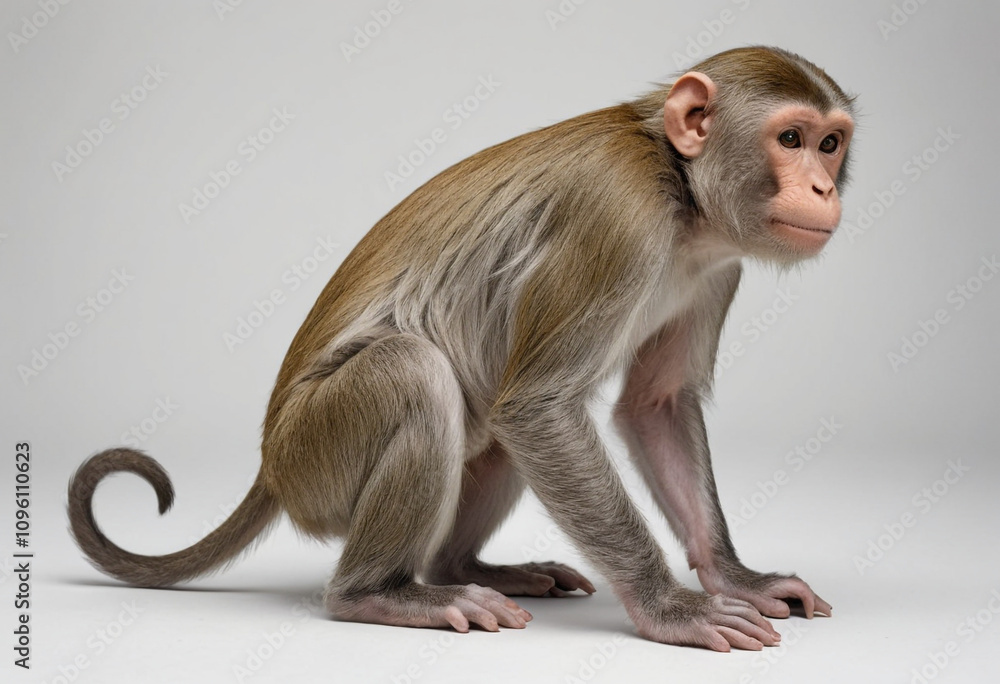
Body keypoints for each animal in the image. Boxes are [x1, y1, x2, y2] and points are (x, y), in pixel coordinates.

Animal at [69, 46, 856, 652]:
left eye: (831, 144)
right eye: (791, 140)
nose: (823, 188)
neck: (681, 190)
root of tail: (271, 465)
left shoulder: (719, 266)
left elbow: (654, 404)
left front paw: (734, 577)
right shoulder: (616, 214)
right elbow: (538, 407)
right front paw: (670, 608)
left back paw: (460, 565)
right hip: (315, 460)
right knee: (416, 374)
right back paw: (377, 593)